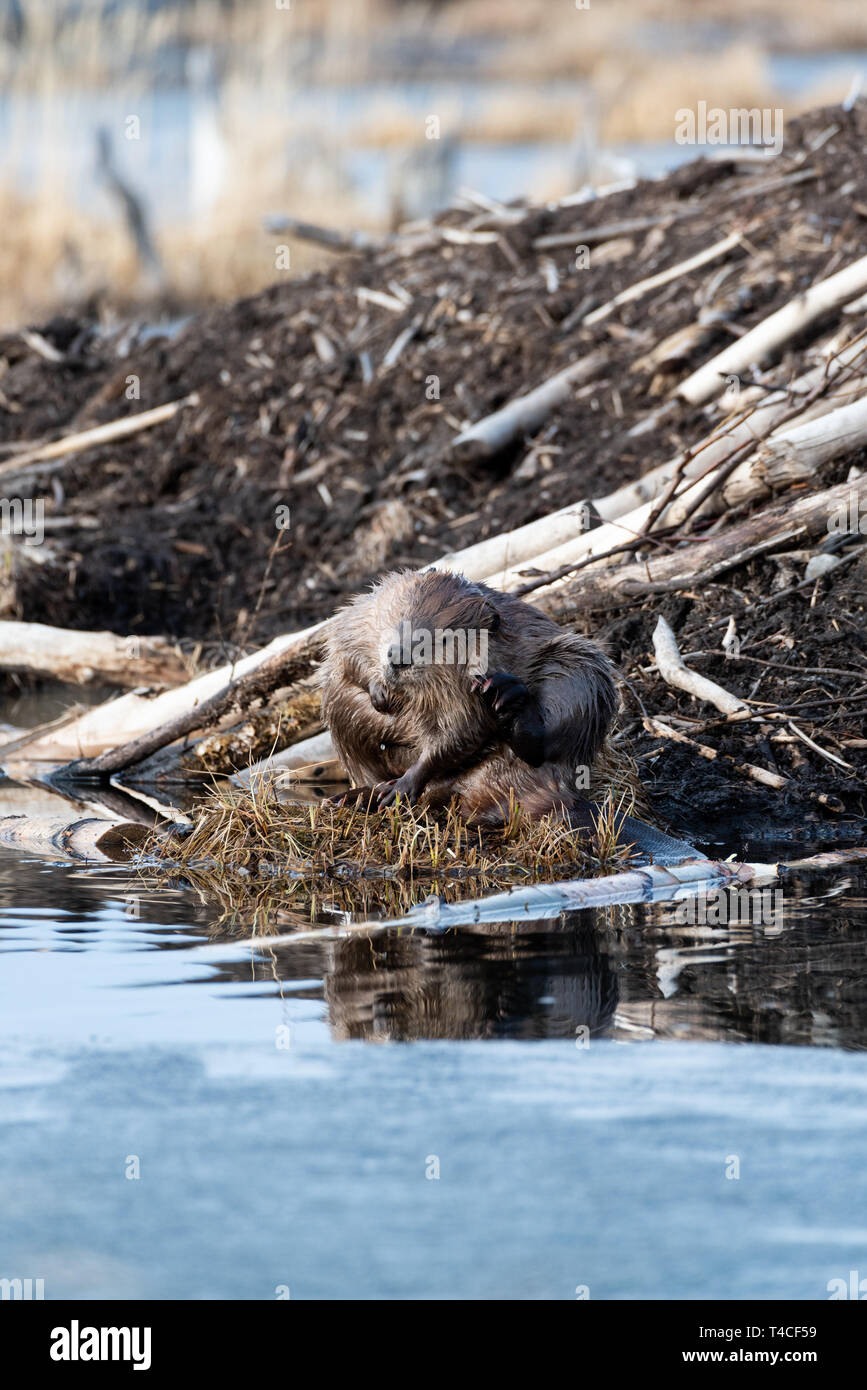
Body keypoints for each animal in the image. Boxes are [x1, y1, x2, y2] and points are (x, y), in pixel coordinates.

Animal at [318, 567, 616, 822]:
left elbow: (464, 730)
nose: (398, 659)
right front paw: (380, 695)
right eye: (402, 615)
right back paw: (353, 797)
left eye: (444, 639)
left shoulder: (478, 674)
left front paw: (401, 789)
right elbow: (345, 644)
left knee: (550, 741)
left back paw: (510, 700)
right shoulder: (367, 610)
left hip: (579, 666)